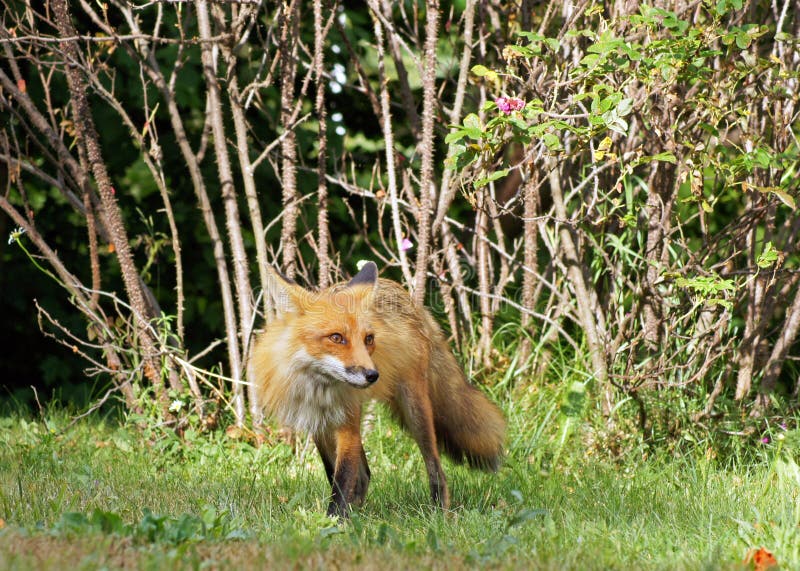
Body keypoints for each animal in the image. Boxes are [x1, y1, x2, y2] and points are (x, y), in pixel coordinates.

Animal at [250, 261, 506, 517]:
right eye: (336, 337)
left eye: (369, 339)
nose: (373, 375)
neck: (318, 388)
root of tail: (409, 299)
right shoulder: (318, 425)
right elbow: (336, 476)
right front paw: (339, 520)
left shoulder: (348, 425)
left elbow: (342, 481)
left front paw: (334, 521)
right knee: (364, 475)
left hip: (416, 411)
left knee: (435, 468)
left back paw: (438, 512)